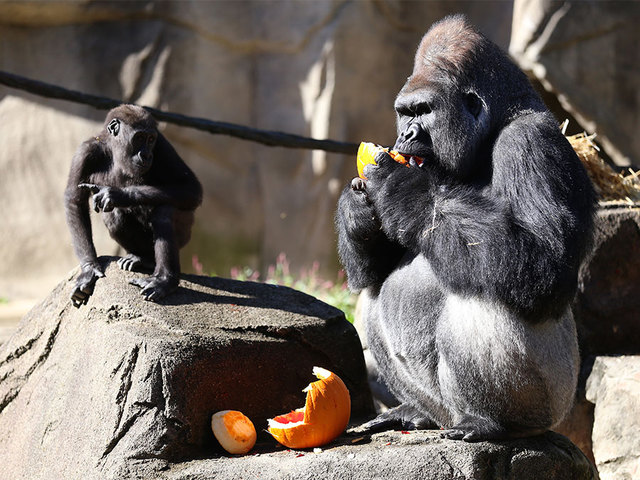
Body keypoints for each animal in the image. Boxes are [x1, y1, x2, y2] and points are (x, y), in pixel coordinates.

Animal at [64, 104, 202, 306]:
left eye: (151, 139)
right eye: (139, 138)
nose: (146, 154)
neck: (114, 149)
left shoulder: (161, 144)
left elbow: (191, 187)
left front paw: (116, 195)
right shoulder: (85, 152)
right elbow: (75, 202)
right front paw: (89, 269)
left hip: (187, 234)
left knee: (165, 212)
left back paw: (163, 280)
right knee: (115, 217)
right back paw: (141, 257)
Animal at [335, 15, 596, 441]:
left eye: (424, 111)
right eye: (405, 113)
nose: (405, 135)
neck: (495, 126)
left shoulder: (531, 143)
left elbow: (545, 264)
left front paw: (405, 191)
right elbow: (374, 271)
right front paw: (355, 211)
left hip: (552, 403)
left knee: (483, 290)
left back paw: (491, 422)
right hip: (443, 411)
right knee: (374, 296)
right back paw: (415, 412)